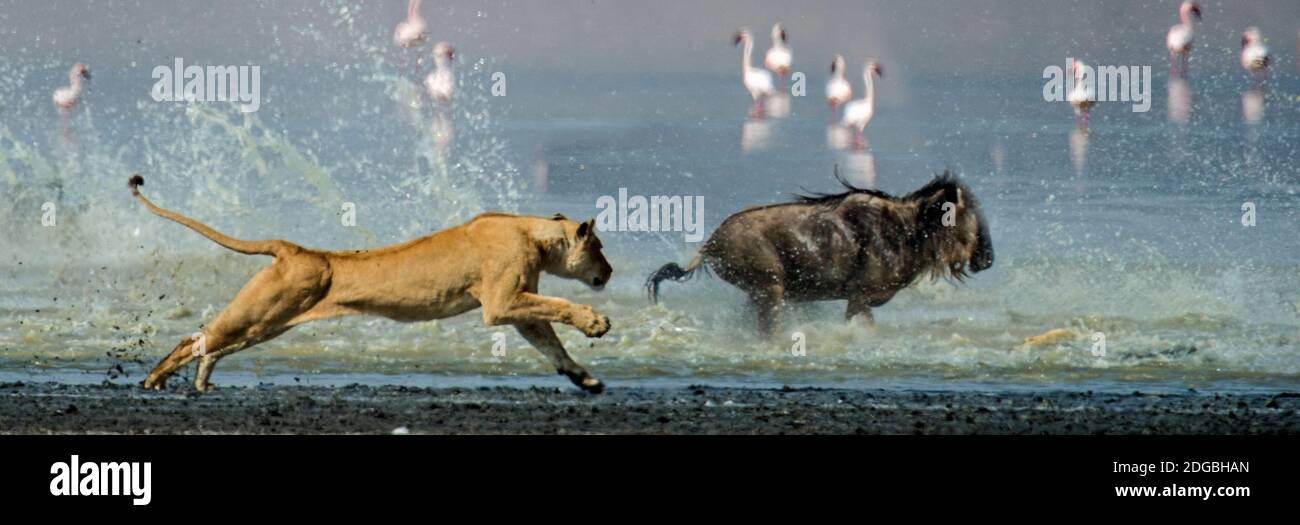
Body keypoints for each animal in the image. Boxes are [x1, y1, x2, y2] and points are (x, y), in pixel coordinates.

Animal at [127, 175, 613, 393]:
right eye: (600, 247)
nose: (608, 273)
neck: (534, 233)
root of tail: (294, 250)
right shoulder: (501, 301)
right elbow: (559, 306)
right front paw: (596, 322)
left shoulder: (517, 307)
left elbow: (550, 341)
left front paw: (584, 377)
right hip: (262, 312)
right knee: (194, 340)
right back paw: (154, 380)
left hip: (266, 323)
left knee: (211, 343)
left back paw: (200, 383)